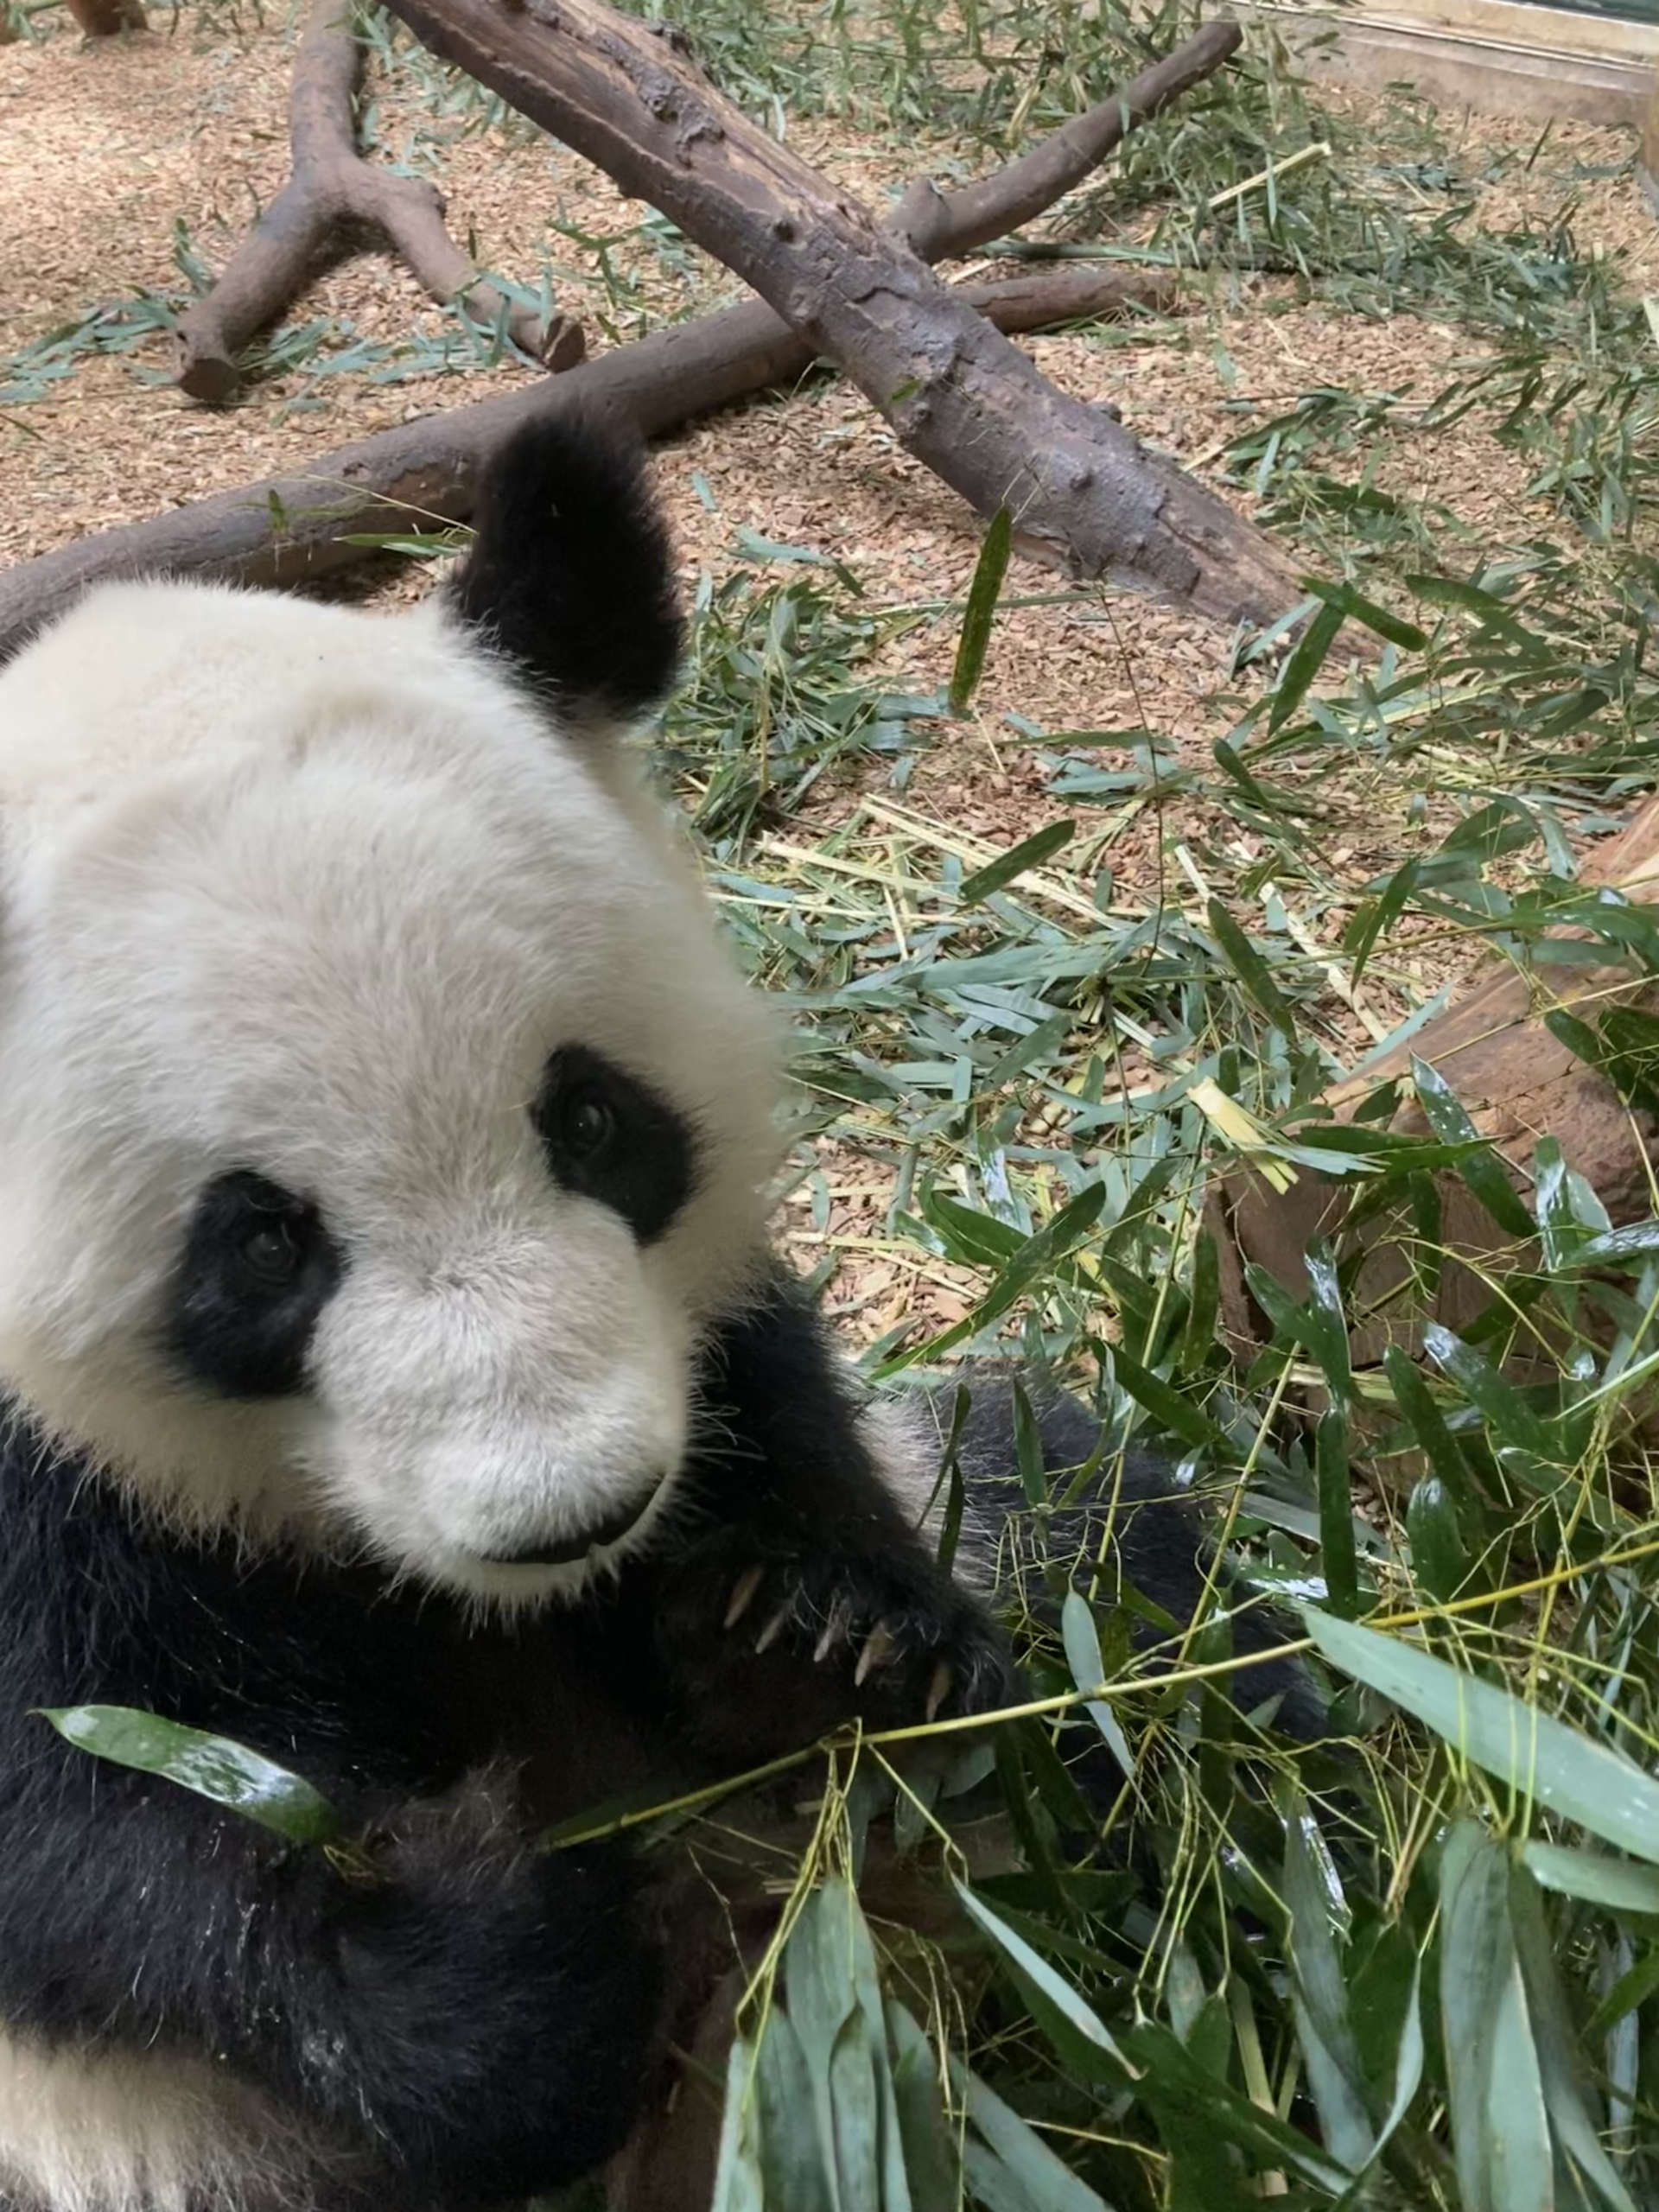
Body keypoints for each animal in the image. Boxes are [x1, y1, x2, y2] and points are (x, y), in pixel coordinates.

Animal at [0, 414, 1319, 2212]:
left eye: (594, 1123)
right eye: (263, 1248)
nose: (574, 1513)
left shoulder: (726, 1343)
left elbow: (800, 1433)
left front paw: (810, 1639)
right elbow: (87, 1830)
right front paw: (495, 1988)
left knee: (1135, 1595)